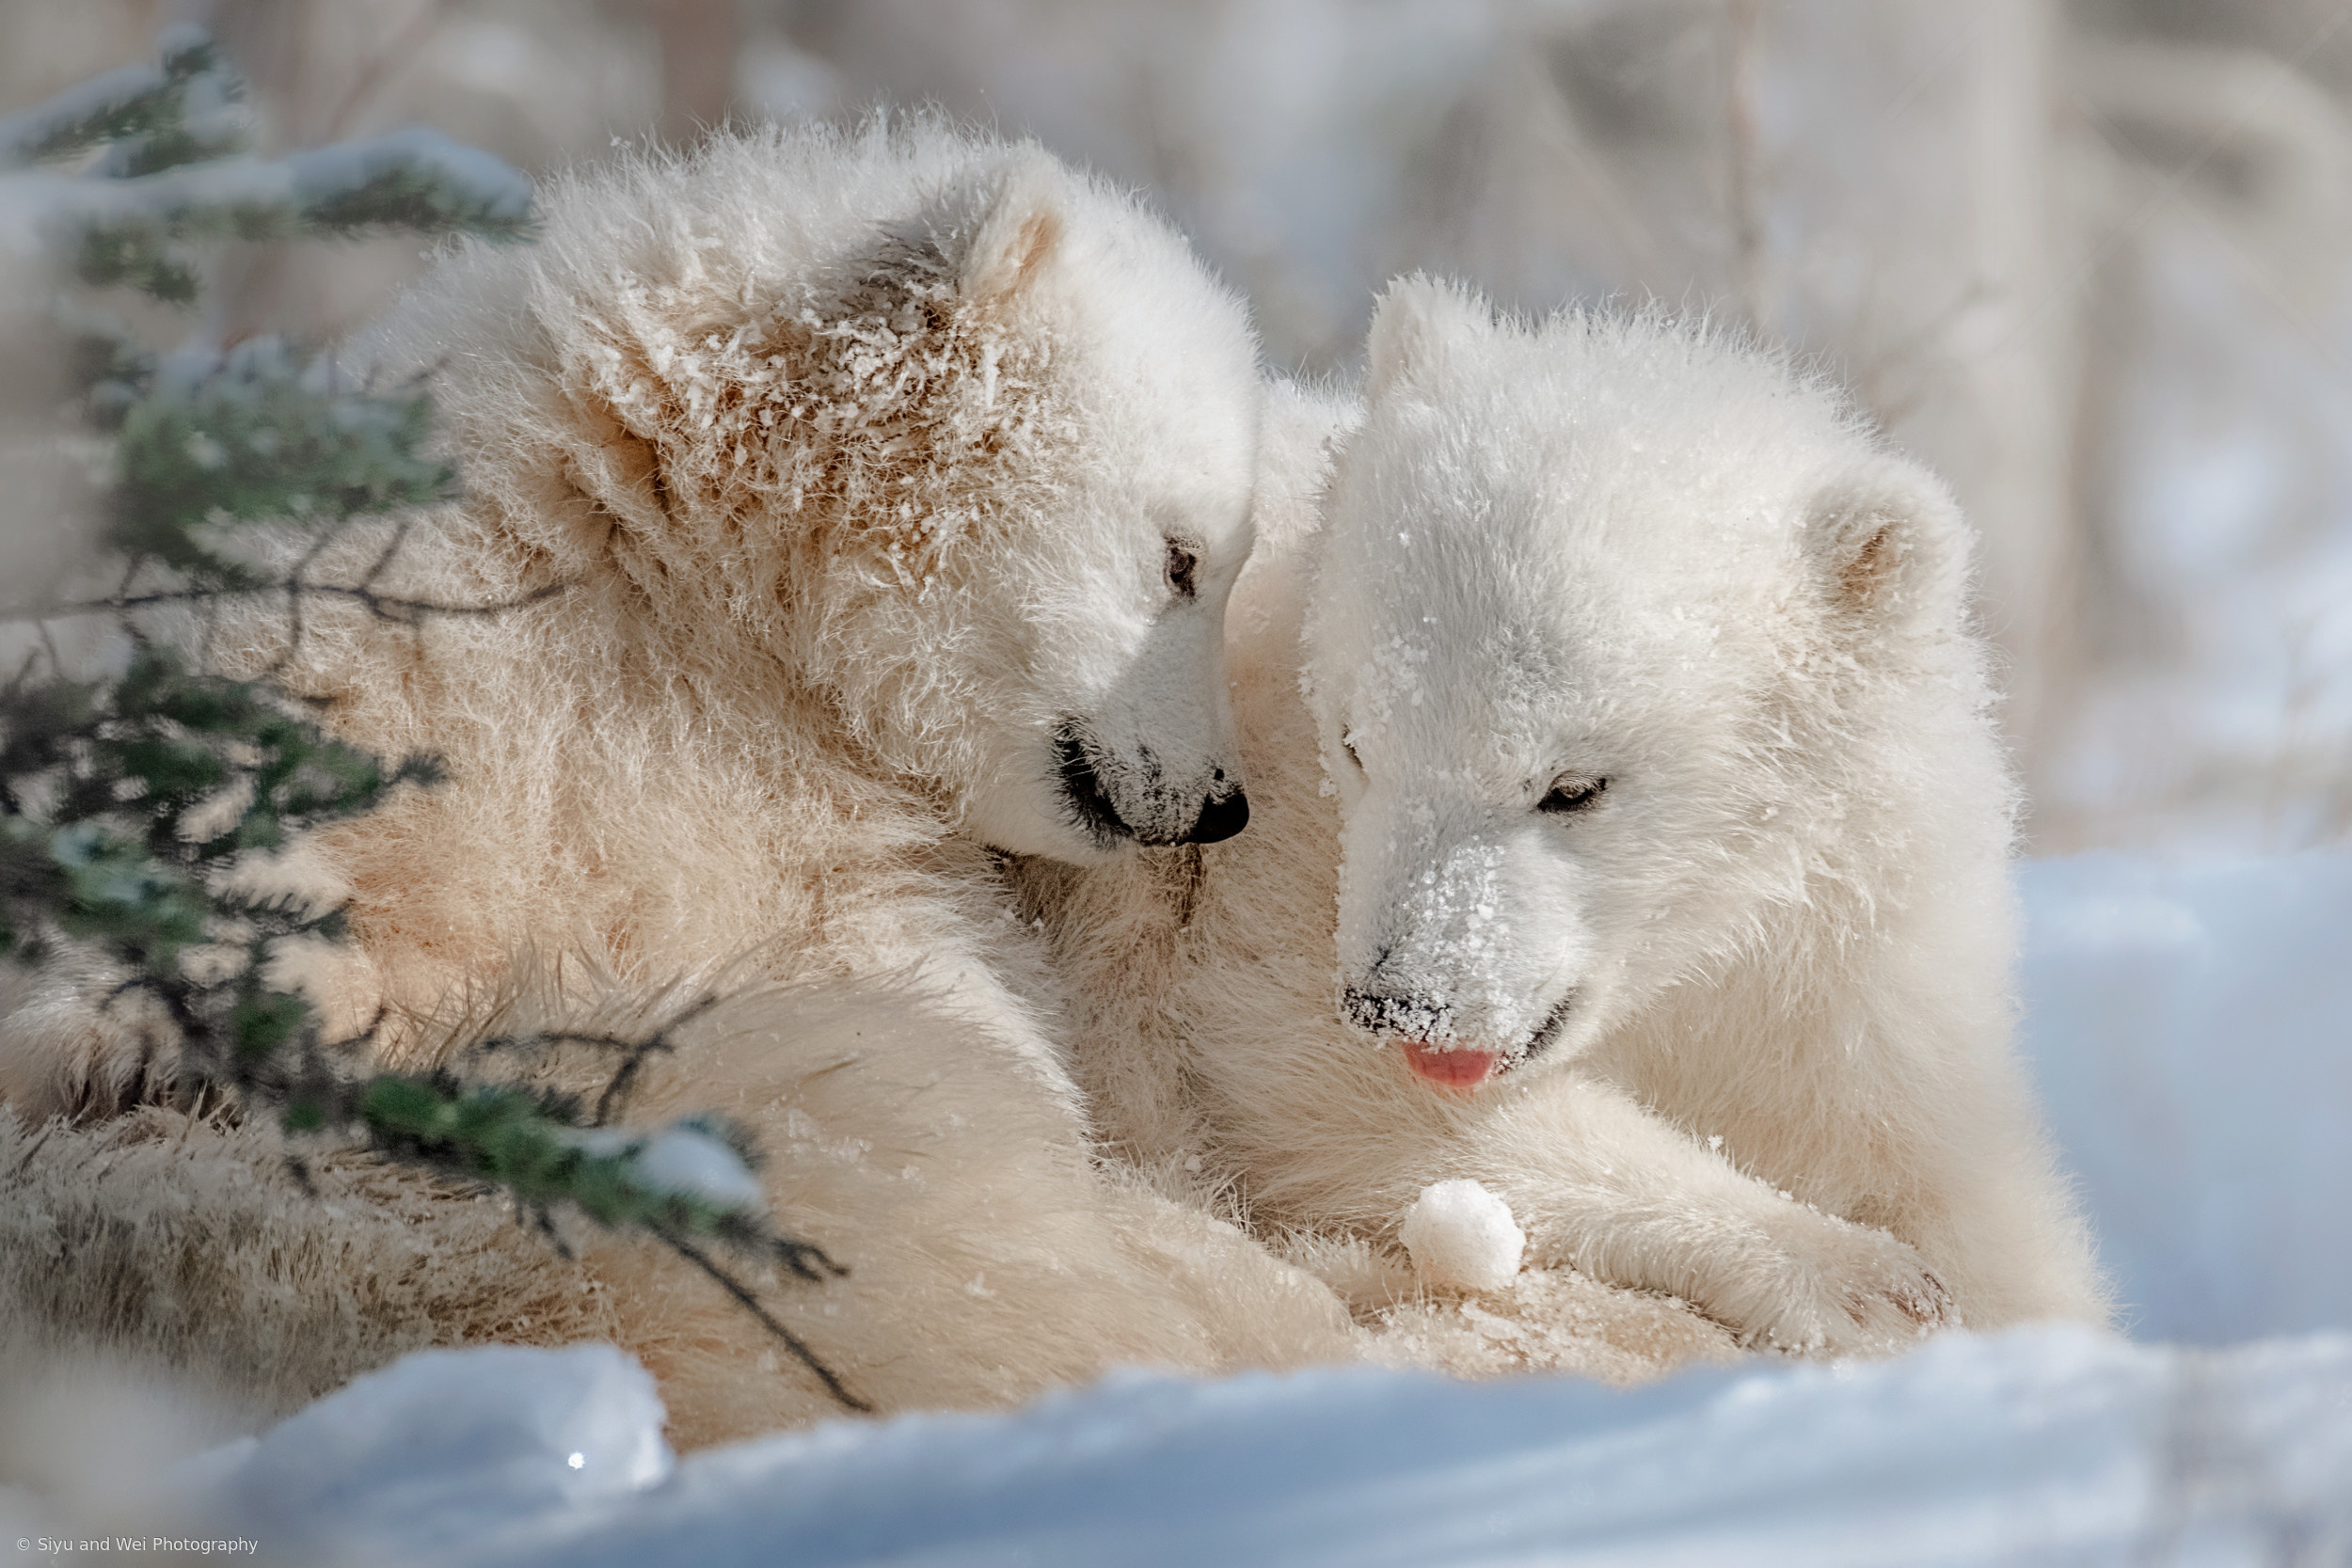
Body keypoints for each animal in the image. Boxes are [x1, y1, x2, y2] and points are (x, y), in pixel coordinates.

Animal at [0, 118, 1358, 1443]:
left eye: (1221, 559)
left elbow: (951, 1032)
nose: (1221, 799)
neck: (692, 604)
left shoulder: (833, 832)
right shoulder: (424, 621)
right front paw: (159, 1030)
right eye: (1182, 557)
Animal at [1022, 278, 2110, 1362]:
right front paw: (1859, 1277)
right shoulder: (1272, 862)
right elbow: (1304, 1073)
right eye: (1357, 741)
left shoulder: (1844, 967)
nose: (1401, 1004)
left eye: (1573, 786)